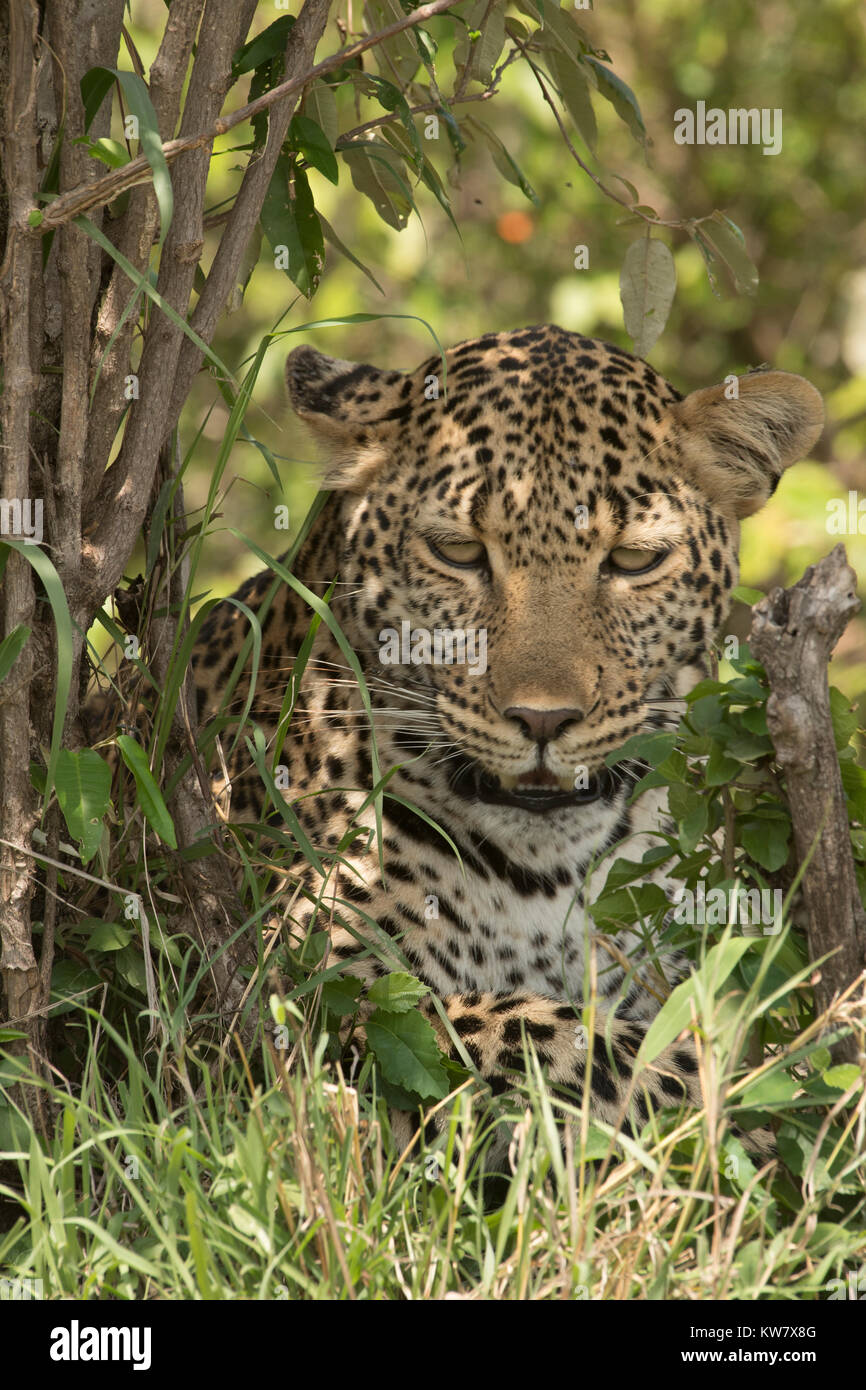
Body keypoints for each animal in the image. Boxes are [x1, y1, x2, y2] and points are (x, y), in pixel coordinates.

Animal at [191, 324, 823, 1157]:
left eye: (633, 560)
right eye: (458, 551)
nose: (544, 719)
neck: (545, 873)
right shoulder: (308, 986)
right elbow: (556, 1037)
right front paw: (757, 1113)